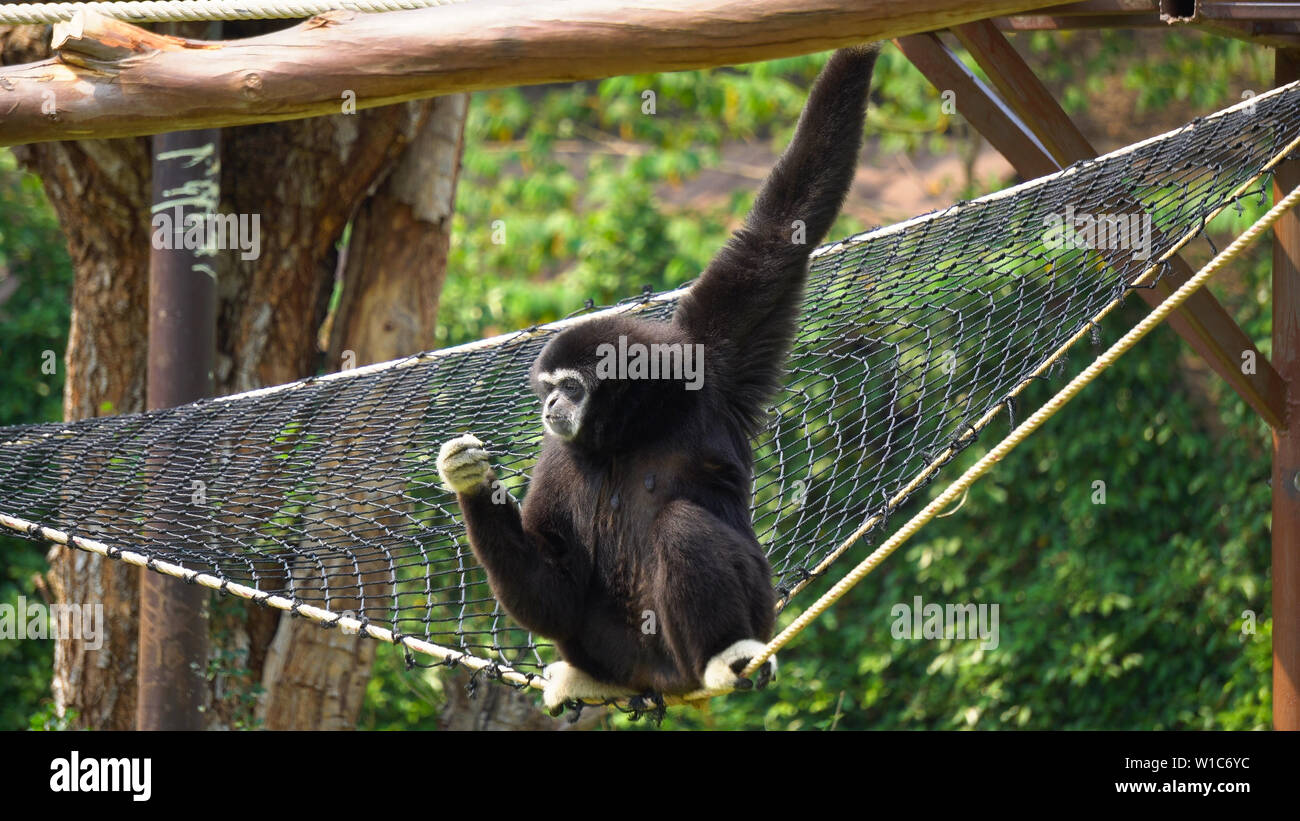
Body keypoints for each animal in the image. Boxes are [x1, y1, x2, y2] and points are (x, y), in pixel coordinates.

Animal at [437, 44, 880, 710]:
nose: (549, 410)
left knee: (682, 526)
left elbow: (782, 225)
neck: (633, 429)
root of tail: (663, 678)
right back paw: (594, 677)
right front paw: (468, 477)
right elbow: (556, 590)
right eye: (549, 390)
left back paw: (725, 654)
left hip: (747, 614)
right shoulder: (559, 454)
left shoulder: (713, 362)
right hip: (619, 648)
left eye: (570, 388)